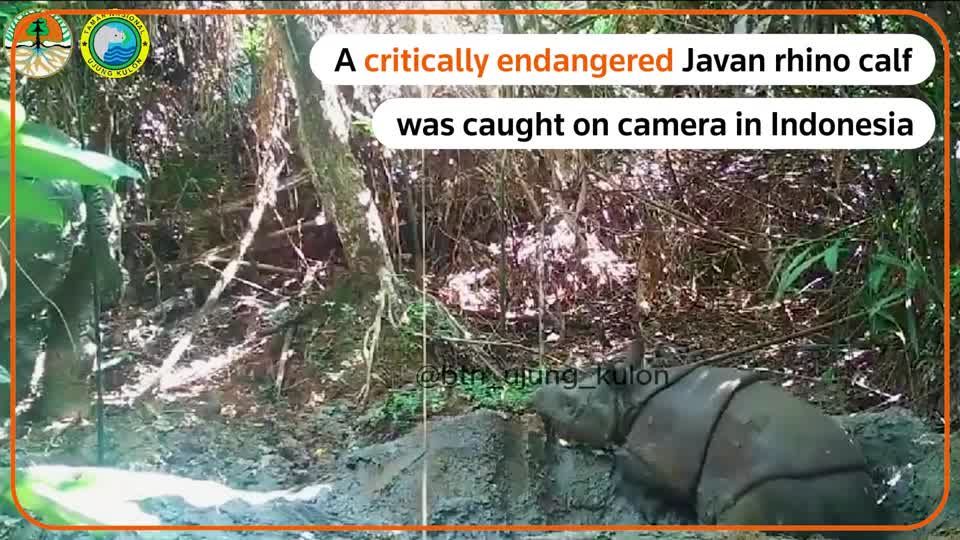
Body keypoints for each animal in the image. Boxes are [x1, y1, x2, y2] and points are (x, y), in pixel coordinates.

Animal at [531, 337, 887, 538]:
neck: (630, 398)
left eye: (571, 406)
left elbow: (630, 470)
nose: (536, 397)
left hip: (790, 487)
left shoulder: (658, 457)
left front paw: (657, 518)